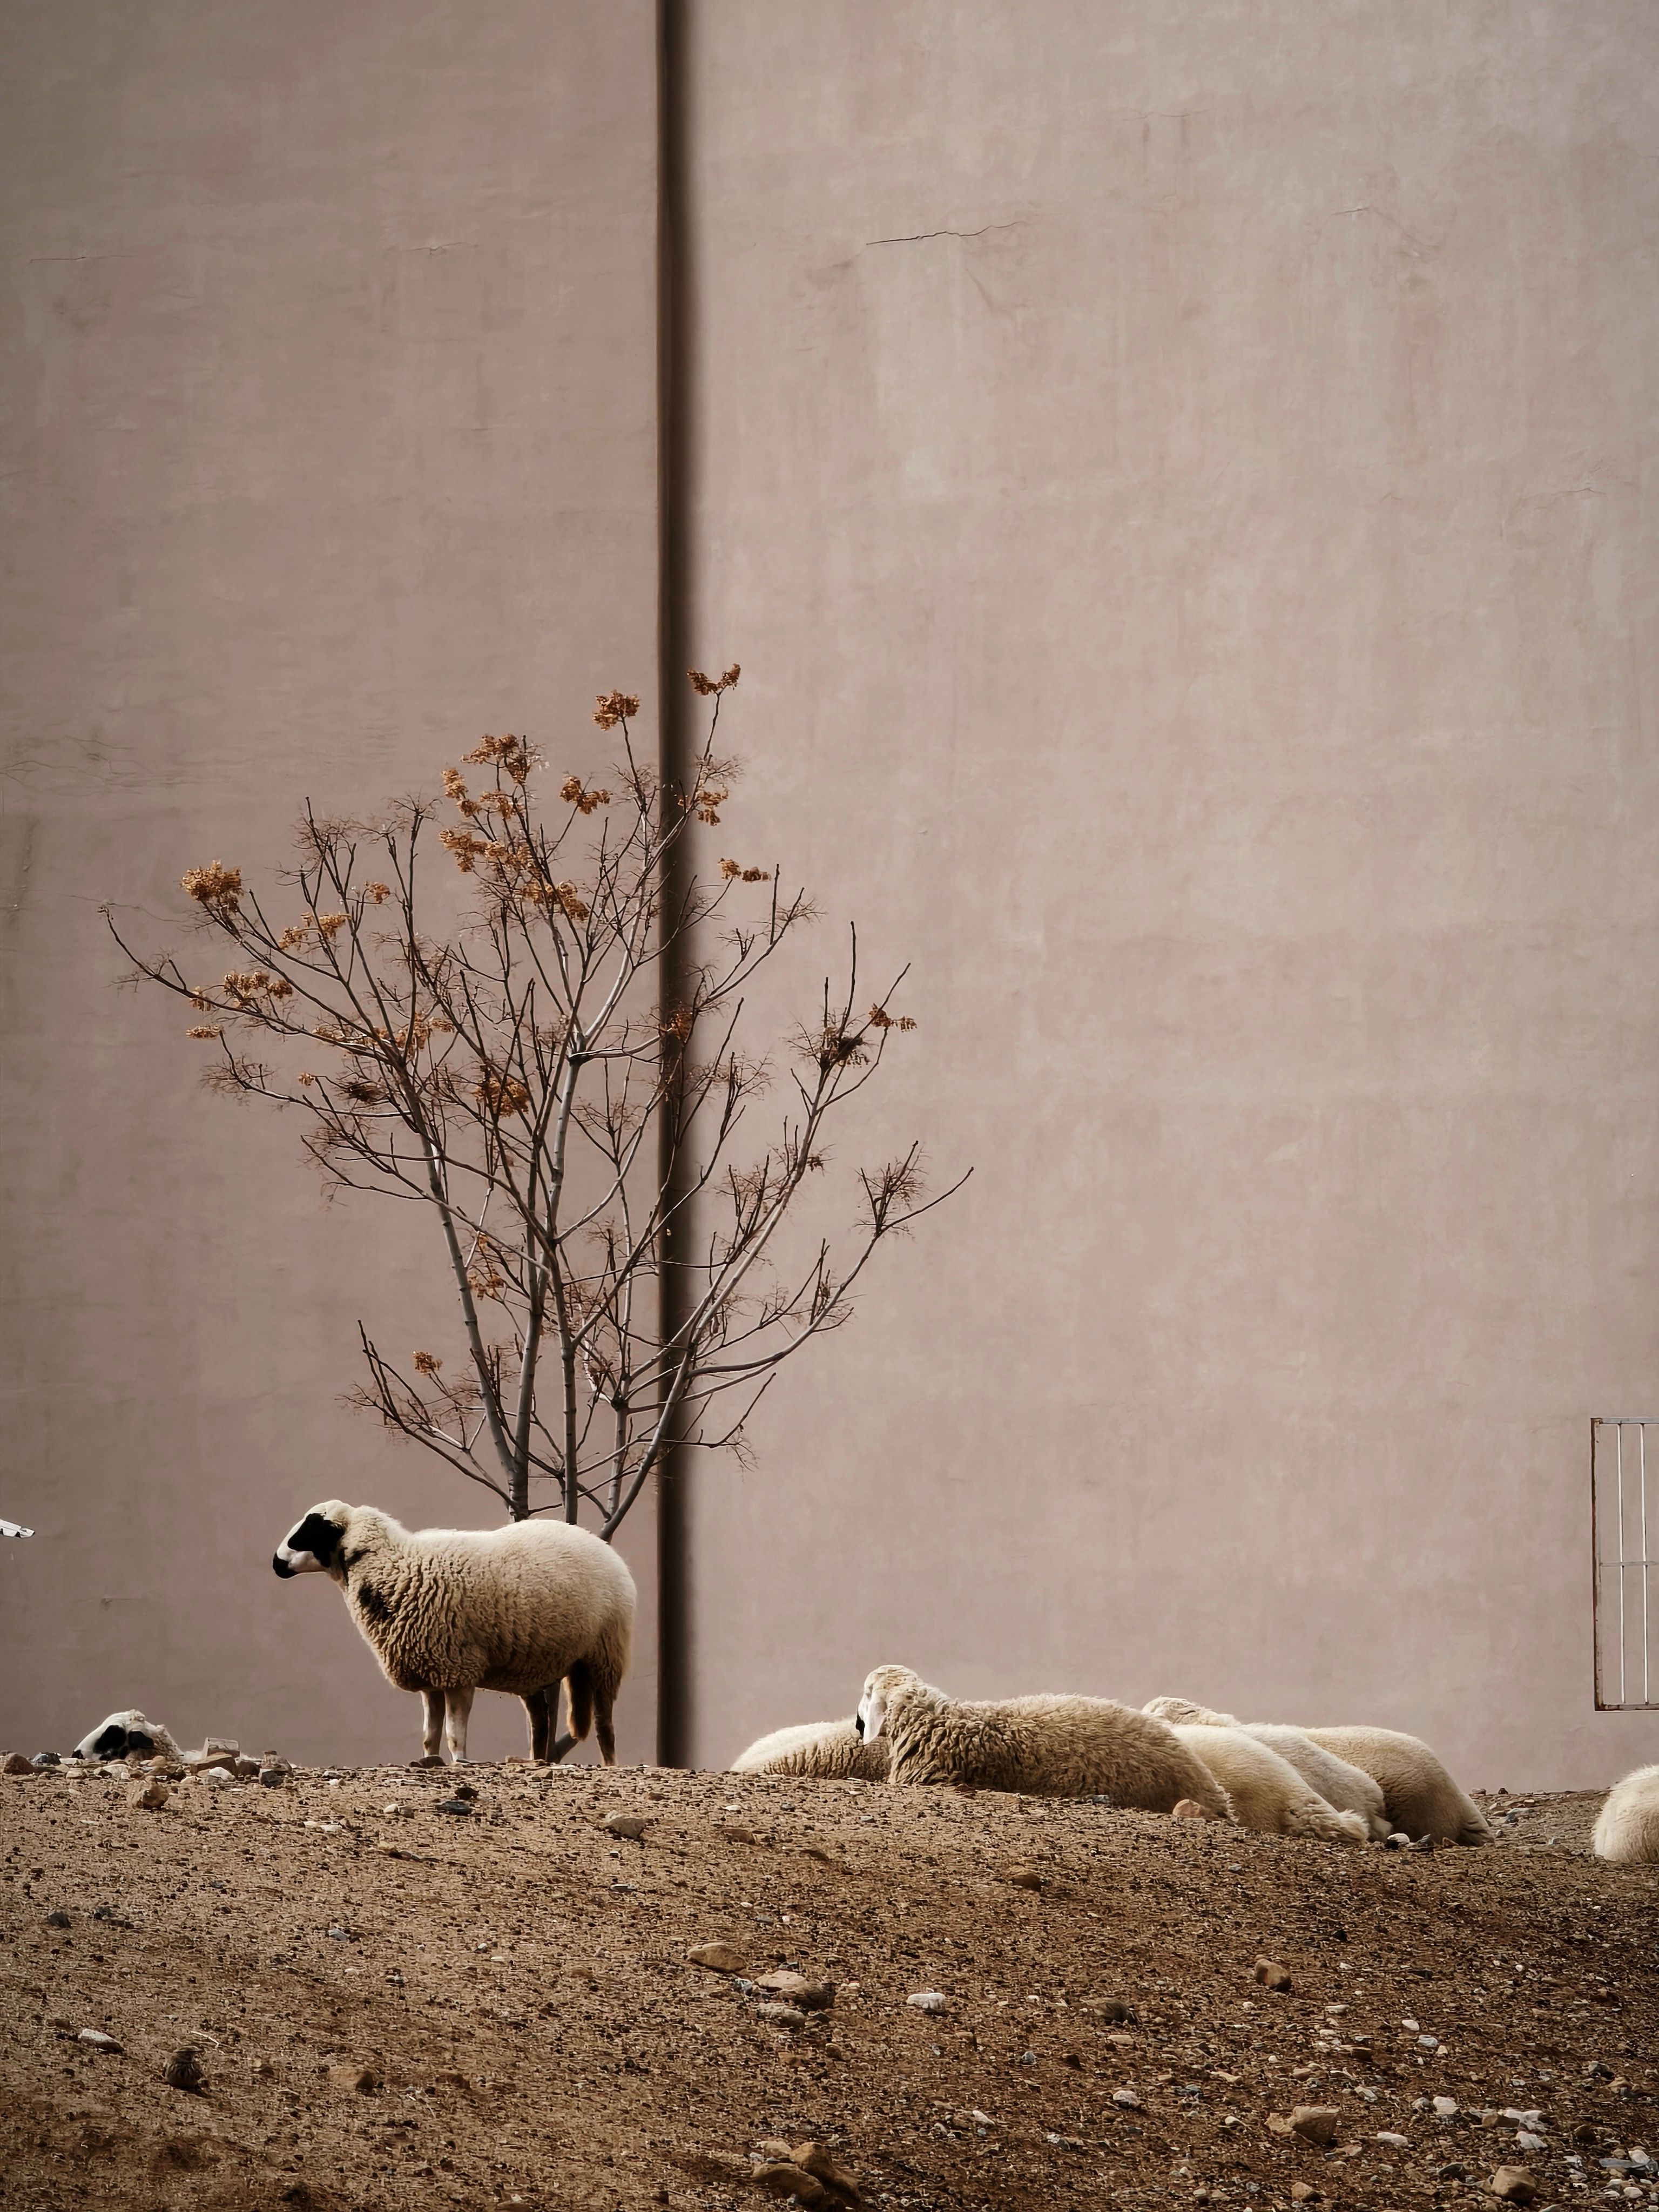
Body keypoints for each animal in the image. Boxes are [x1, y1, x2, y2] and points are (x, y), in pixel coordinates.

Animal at [273, 1501, 634, 1766]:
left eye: (310, 1531)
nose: (276, 1564)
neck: (392, 1567)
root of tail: (596, 1541)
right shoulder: (429, 1673)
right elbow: (429, 1734)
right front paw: (428, 1761)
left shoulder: (457, 1669)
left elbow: (453, 1732)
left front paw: (461, 1761)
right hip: (537, 1662)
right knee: (540, 1721)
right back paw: (536, 1761)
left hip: (605, 1653)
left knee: (604, 1722)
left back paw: (609, 1765)